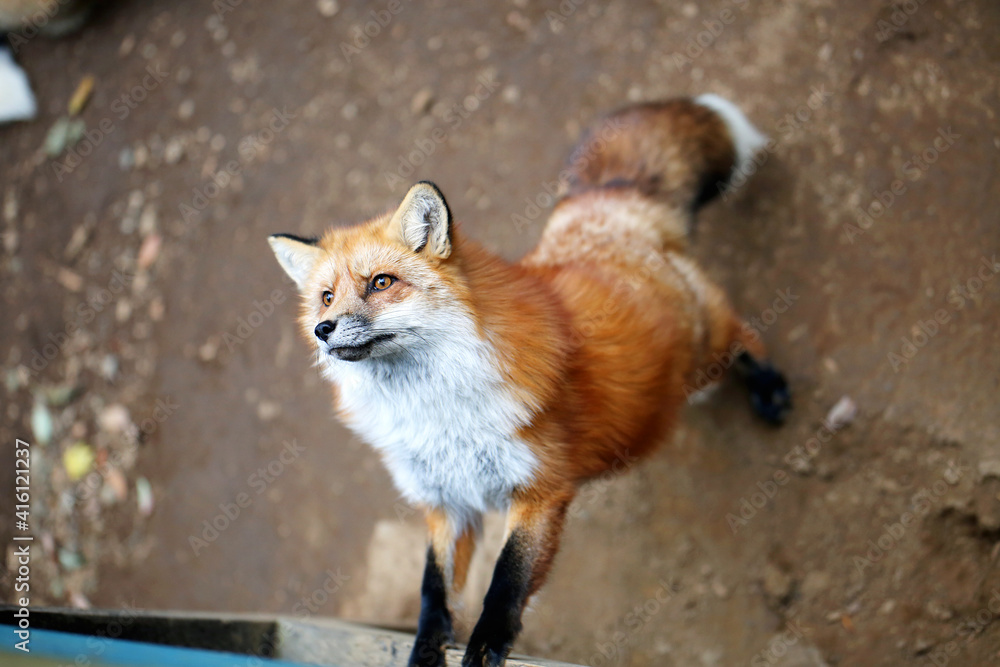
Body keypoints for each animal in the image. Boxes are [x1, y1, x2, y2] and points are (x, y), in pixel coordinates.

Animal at [268, 94, 790, 667]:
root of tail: (602, 209)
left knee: (743, 332)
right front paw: (427, 650)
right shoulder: (446, 502)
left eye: (381, 283)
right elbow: (433, 587)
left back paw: (769, 388)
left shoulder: (540, 487)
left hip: (705, 352)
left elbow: (507, 580)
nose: (322, 329)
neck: (435, 415)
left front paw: (485, 648)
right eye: (326, 298)